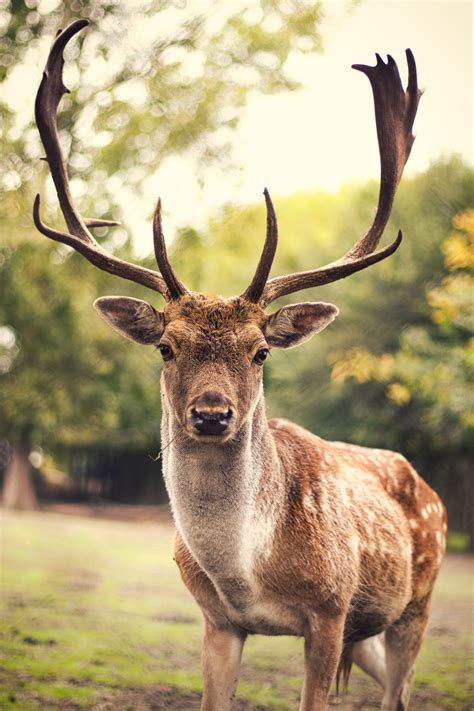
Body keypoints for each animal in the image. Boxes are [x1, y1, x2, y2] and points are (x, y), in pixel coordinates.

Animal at [34, 20, 447, 711]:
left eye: (260, 351)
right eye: (166, 346)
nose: (211, 413)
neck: (246, 574)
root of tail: (431, 491)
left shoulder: (330, 612)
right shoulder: (217, 621)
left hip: (415, 602)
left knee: (402, 691)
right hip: (368, 634)